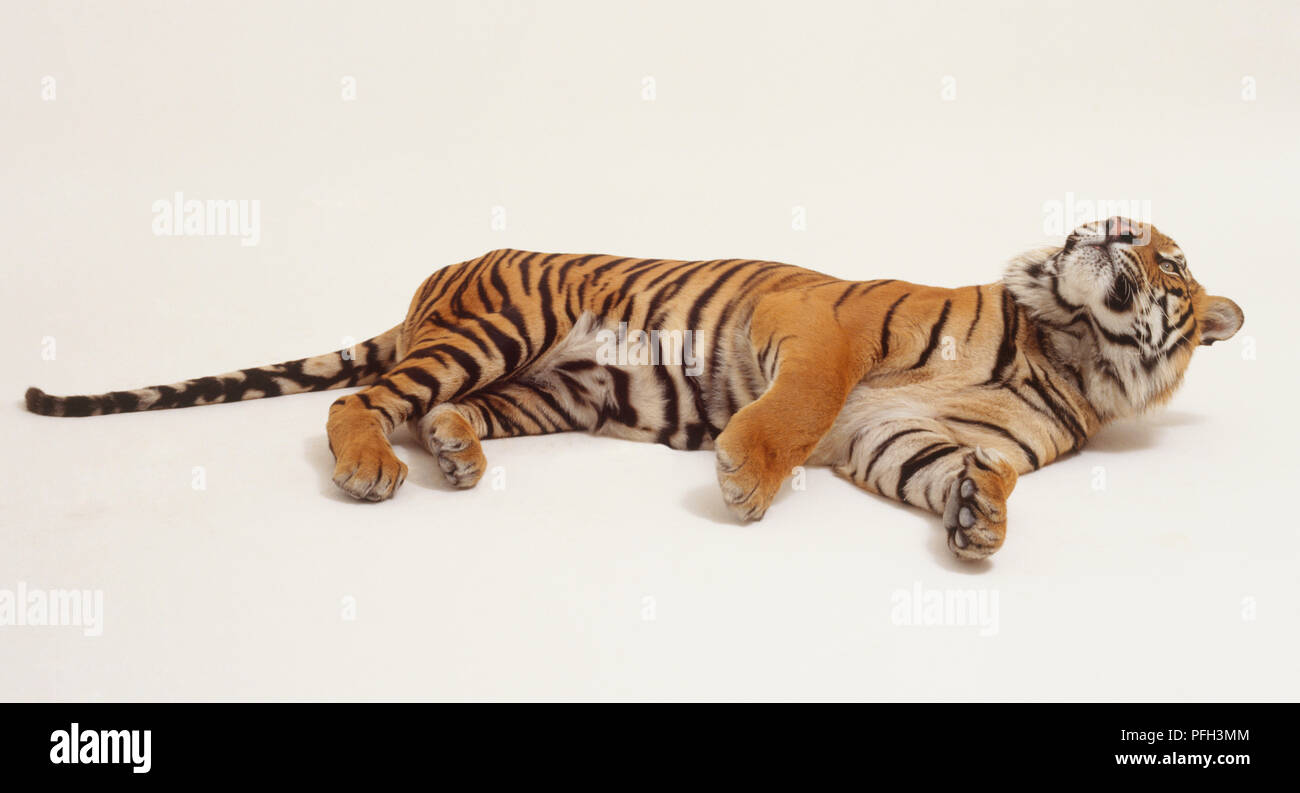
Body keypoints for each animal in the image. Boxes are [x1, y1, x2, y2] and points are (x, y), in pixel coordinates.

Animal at [25, 217, 1243, 560]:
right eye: (1116, 228)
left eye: (1168, 255)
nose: (1099, 231)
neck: (1064, 348)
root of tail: (432, 279)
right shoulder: (827, 333)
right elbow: (790, 413)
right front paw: (745, 480)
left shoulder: (887, 434)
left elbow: (964, 465)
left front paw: (980, 518)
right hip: (499, 327)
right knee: (358, 400)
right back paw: (372, 469)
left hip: (550, 389)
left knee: (434, 408)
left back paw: (456, 452)